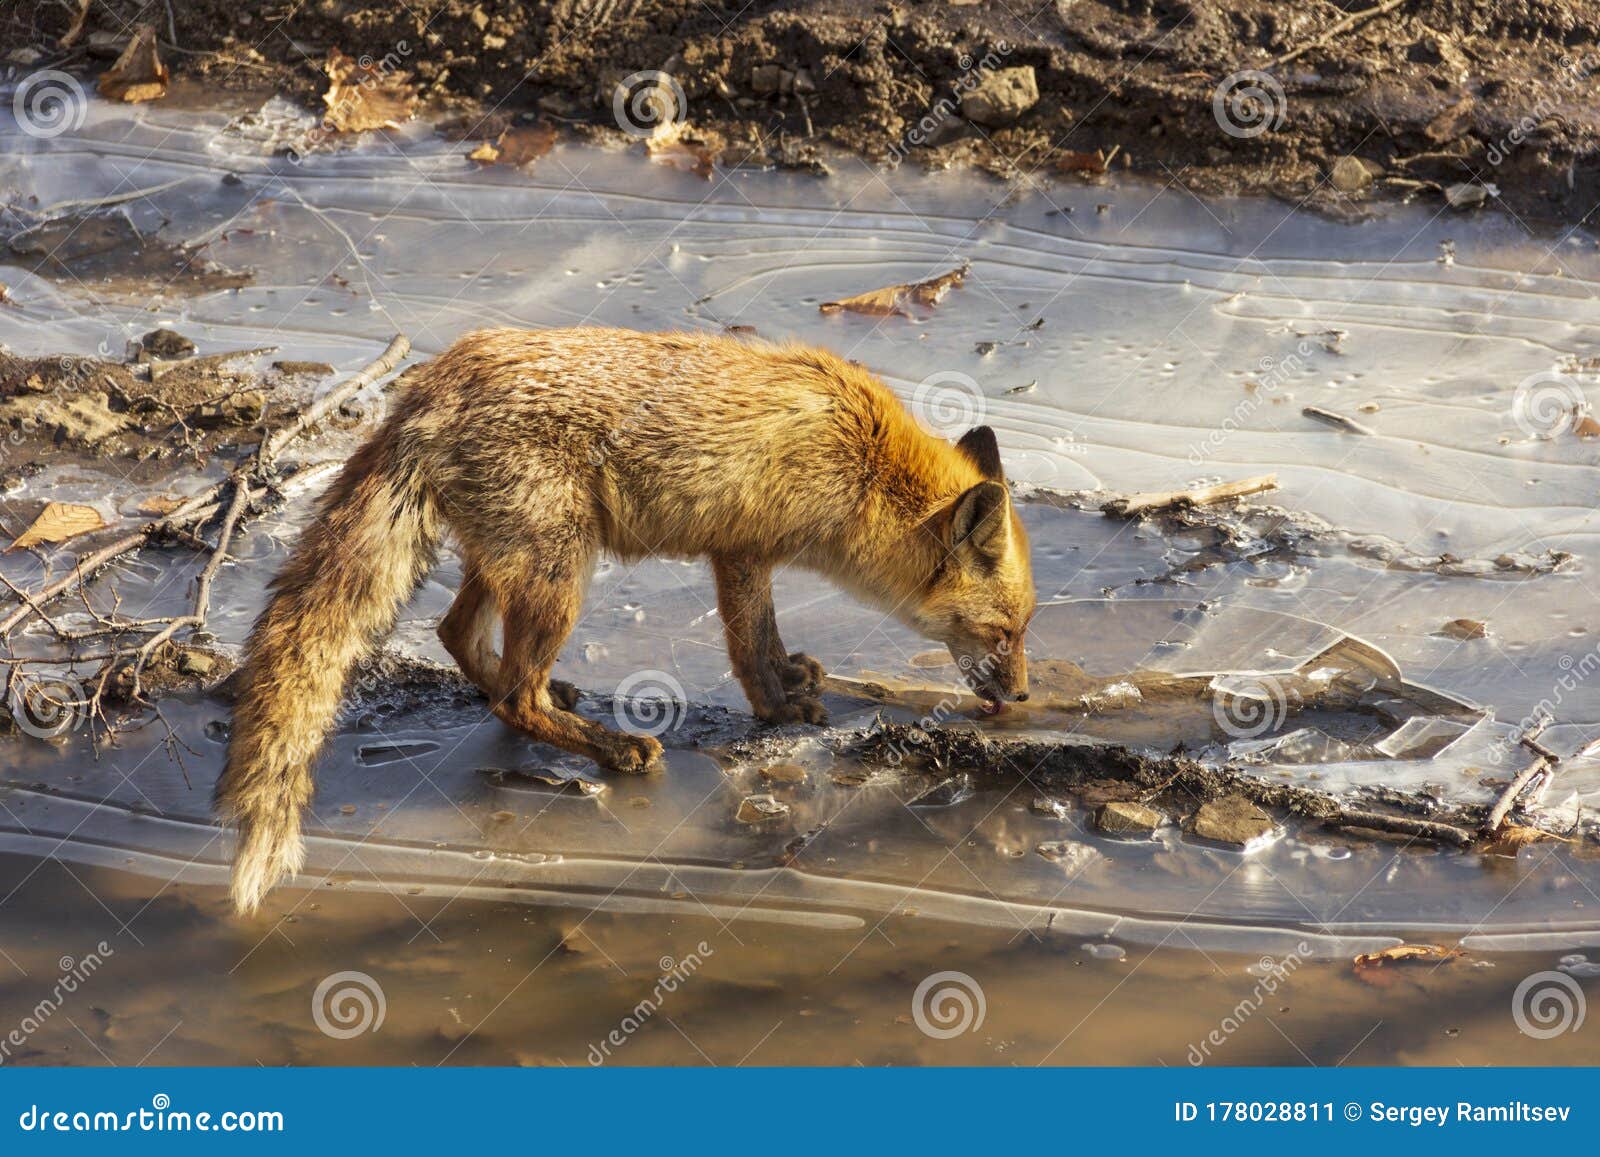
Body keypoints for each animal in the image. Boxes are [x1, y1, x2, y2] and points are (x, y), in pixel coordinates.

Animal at [216, 327, 1035, 913]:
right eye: (1004, 633)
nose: (1023, 695)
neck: (863, 464)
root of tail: (428, 386)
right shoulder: (740, 551)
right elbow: (749, 647)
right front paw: (778, 708)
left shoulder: (752, 554)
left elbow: (767, 639)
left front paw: (793, 680)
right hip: (561, 571)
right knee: (515, 696)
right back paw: (611, 748)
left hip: (510, 561)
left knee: (463, 640)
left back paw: (544, 697)